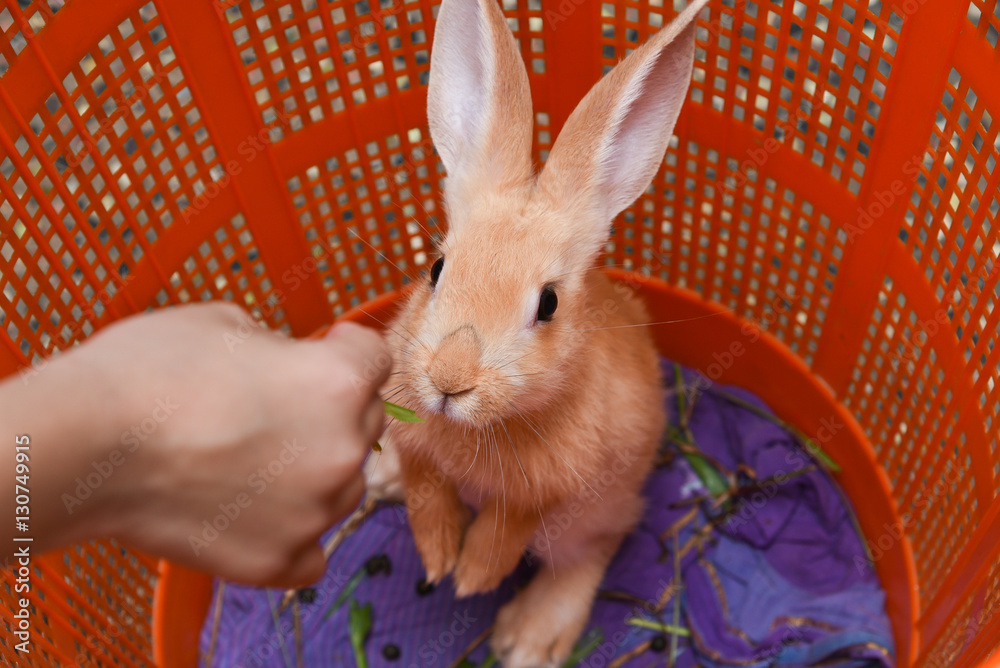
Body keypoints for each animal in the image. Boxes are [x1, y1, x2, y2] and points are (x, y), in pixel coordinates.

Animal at [364, 0, 707, 664]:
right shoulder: (417, 445)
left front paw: (471, 577)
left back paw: (527, 637)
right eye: (436, 268)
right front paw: (438, 555)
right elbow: (424, 490)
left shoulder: (543, 493)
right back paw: (378, 477)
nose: (448, 381)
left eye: (547, 304)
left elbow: (507, 528)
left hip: (598, 513)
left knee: (590, 553)